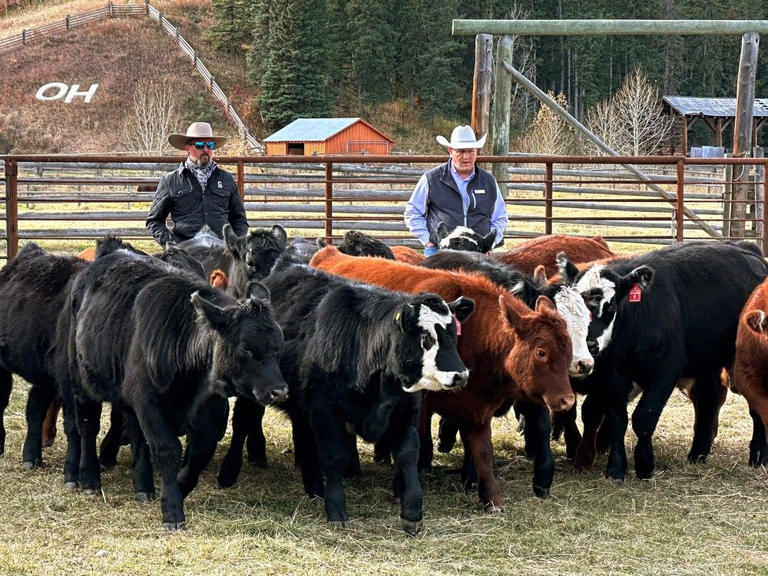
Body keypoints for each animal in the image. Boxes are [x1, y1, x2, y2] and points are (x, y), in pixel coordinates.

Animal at [66, 242, 288, 529]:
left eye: (279, 346)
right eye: (246, 348)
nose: (279, 391)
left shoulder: (211, 415)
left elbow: (198, 456)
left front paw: (178, 489)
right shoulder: (149, 402)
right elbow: (167, 450)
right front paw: (172, 509)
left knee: (136, 435)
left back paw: (143, 487)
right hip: (82, 380)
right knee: (88, 425)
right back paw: (90, 479)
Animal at [310, 245, 574, 512]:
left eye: (568, 348)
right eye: (541, 352)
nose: (568, 400)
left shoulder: (477, 408)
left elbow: (483, 452)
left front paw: (491, 498)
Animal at [570, 241, 768, 483]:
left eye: (611, 306)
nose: (589, 345)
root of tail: (746, 248)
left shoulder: (664, 372)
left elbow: (644, 418)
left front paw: (645, 465)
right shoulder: (614, 377)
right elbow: (618, 421)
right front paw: (616, 469)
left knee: (753, 405)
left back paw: (758, 456)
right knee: (708, 399)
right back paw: (698, 453)